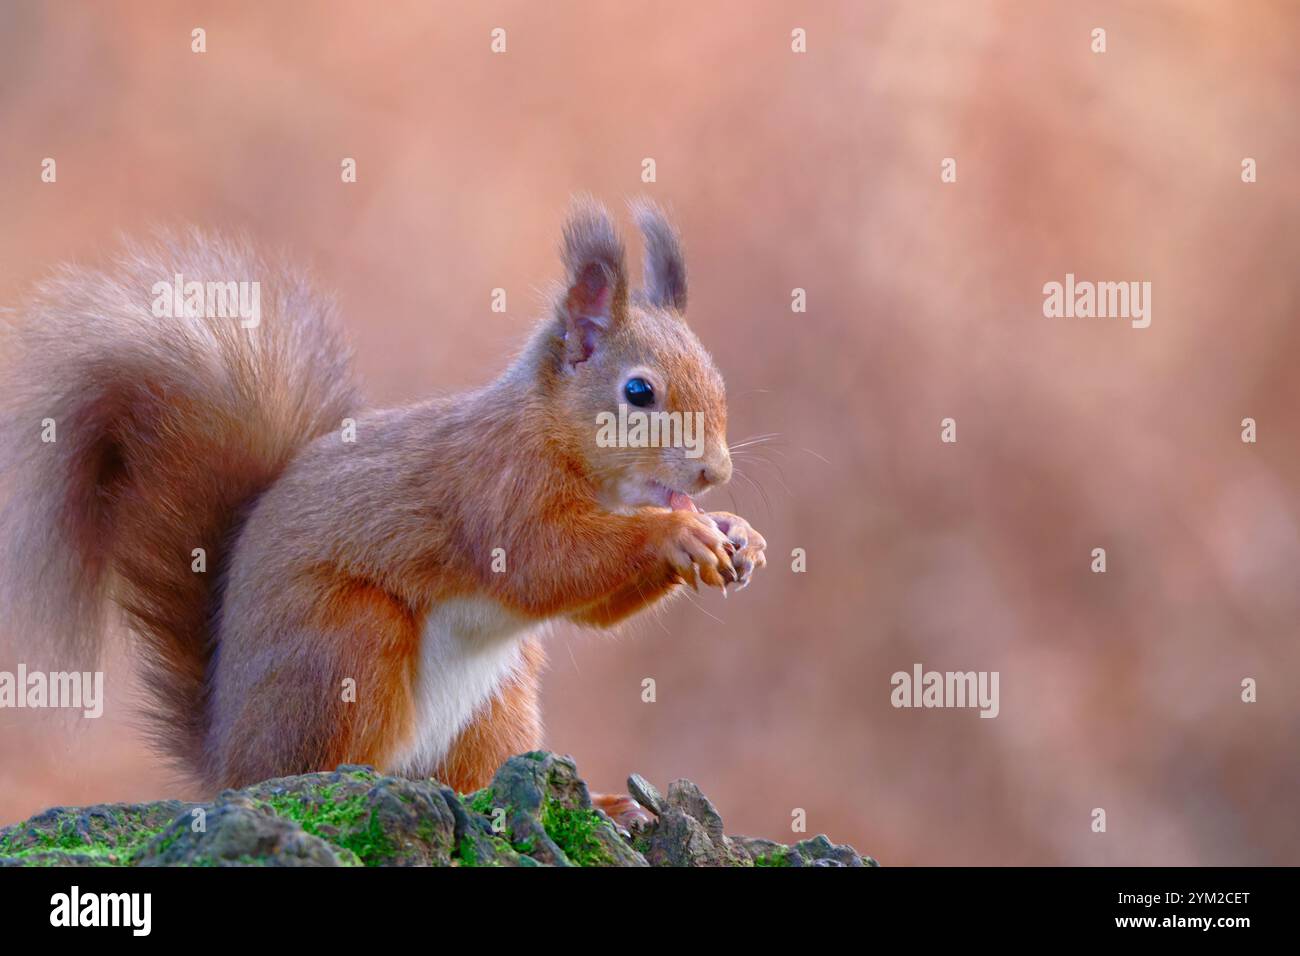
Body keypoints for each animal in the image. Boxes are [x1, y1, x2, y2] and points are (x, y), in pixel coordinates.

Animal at [0, 198, 767, 796]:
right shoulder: (495, 484)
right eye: (638, 392)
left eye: (718, 381)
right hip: (349, 644)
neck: (560, 443)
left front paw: (739, 534)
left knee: (475, 777)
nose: (714, 473)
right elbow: (543, 563)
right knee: (321, 764)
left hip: (496, 705)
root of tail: (227, 763)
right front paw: (675, 534)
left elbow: (592, 608)